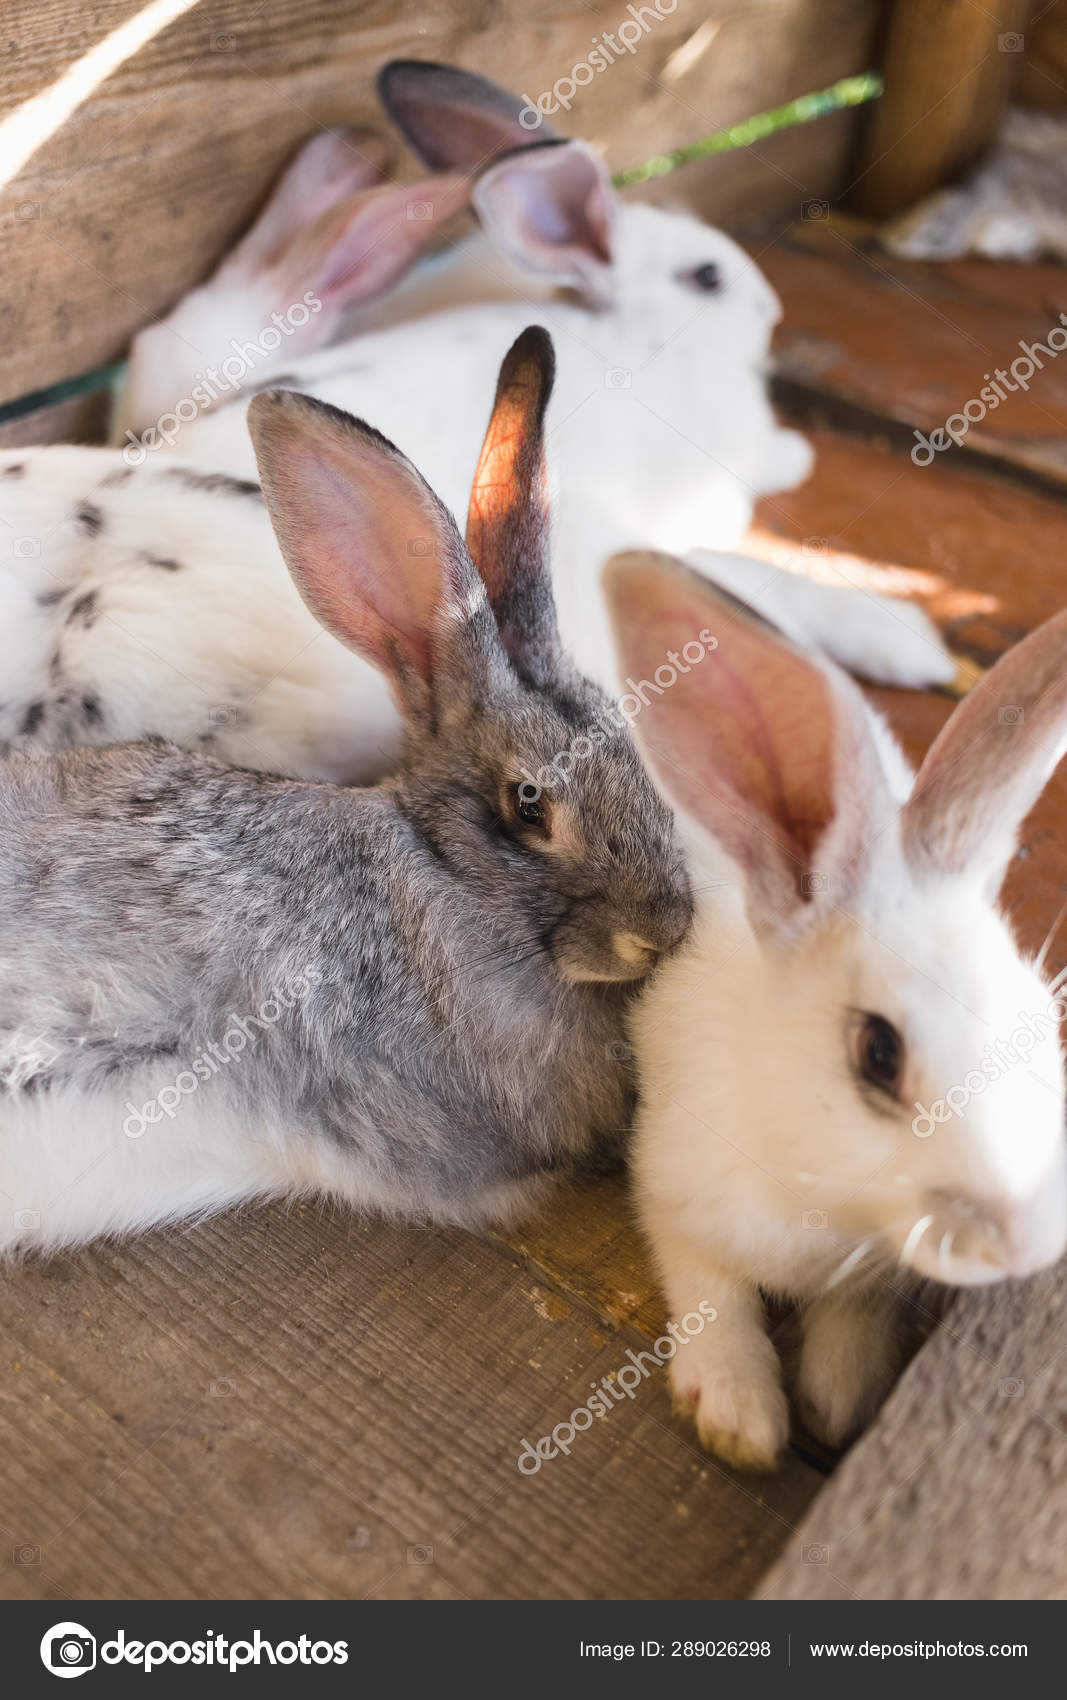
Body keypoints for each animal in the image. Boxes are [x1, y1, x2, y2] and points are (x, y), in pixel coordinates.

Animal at [602, 547, 1067, 1472]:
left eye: (1042, 1024)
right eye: (877, 1055)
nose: (1026, 1244)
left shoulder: (867, 1280)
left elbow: (854, 1321)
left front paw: (837, 1399)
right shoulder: (670, 1193)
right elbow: (711, 1295)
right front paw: (739, 1416)